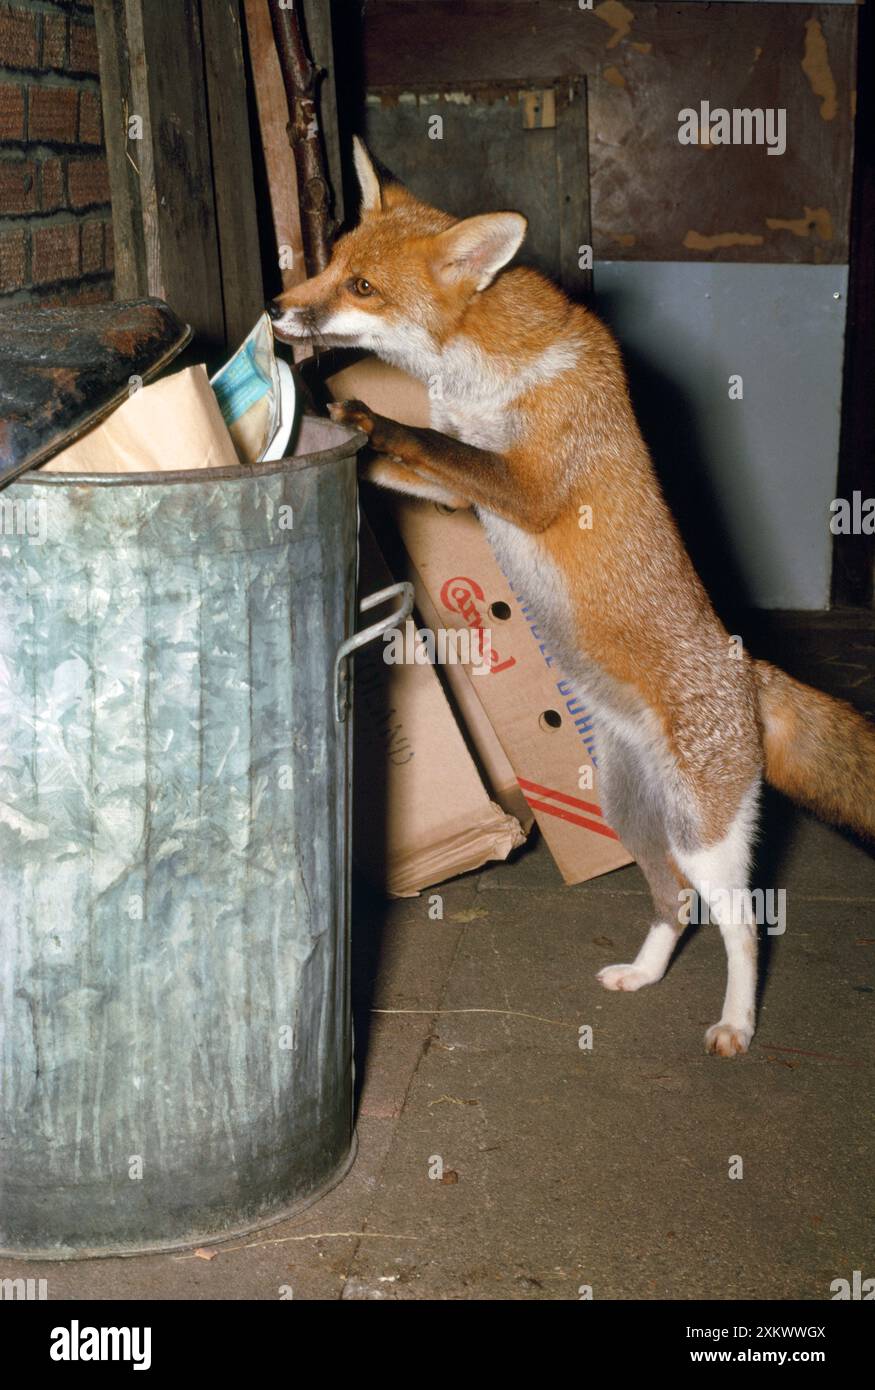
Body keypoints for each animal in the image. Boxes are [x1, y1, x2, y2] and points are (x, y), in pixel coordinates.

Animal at [269, 138, 875, 1057]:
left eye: (362, 287)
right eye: (332, 264)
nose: (275, 307)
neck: (477, 373)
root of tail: (749, 669)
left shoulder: (531, 489)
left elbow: (429, 439)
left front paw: (370, 415)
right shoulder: (459, 498)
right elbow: (411, 465)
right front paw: (329, 426)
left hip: (705, 840)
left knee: (741, 925)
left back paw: (735, 1023)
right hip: (632, 817)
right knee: (674, 904)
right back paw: (644, 976)